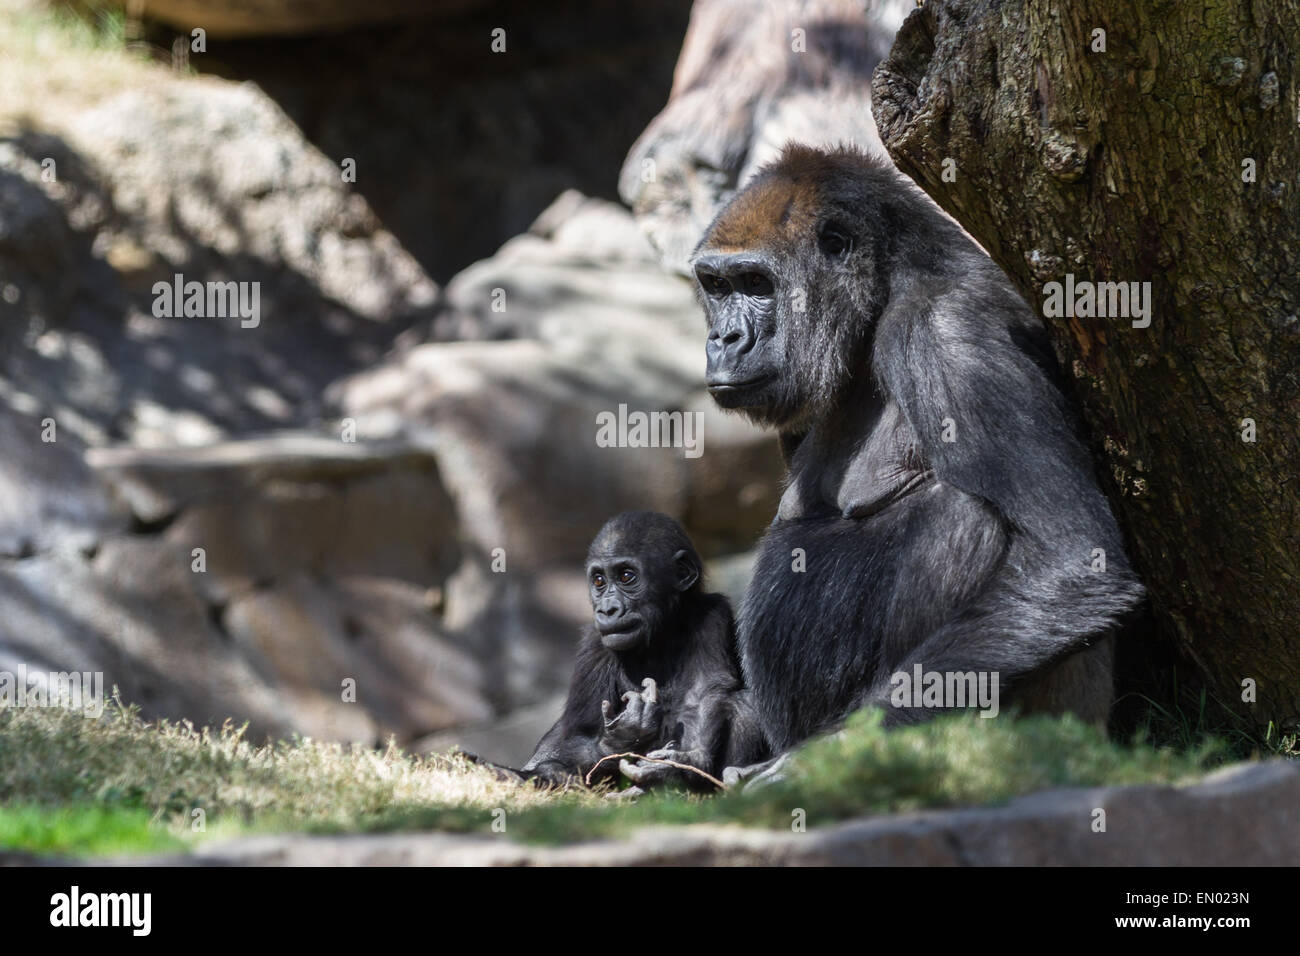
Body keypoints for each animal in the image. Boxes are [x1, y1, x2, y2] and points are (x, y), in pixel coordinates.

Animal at [522, 511, 765, 790]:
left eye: (626, 577)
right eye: (599, 580)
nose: (608, 609)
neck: (661, 631)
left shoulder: (713, 615)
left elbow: (706, 692)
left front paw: (682, 765)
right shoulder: (594, 646)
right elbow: (576, 734)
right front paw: (623, 737)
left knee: (744, 706)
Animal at [691, 143, 1144, 765]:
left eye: (757, 283)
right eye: (715, 286)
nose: (723, 341)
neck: (884, 294)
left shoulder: (949, 330)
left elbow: (1072, 561)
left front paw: (817, 762)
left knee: (968, 519)